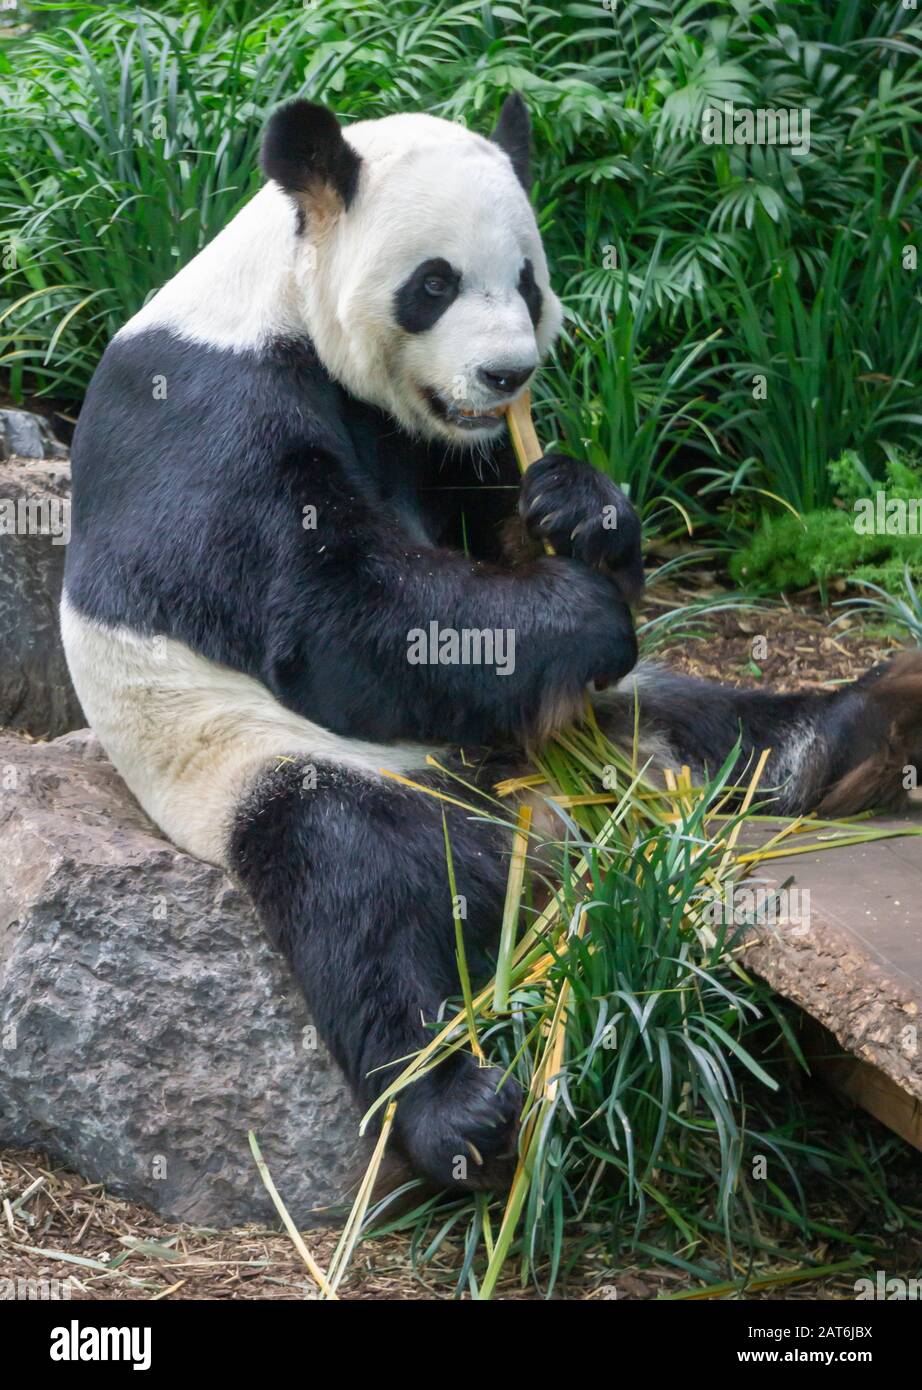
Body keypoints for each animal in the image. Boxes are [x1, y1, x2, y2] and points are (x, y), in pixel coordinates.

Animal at [61, 96, 922, 1190]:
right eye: (433, 285)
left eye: (526, 280)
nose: (507, 372)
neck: (284, 301)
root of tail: (530, 809)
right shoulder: (207, 405)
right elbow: (325, 607)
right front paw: (578, 610)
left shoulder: (439, 443)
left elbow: (491, 518)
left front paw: (581, 510)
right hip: (270, 762)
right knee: (356, 884)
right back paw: (460, 1110)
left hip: (612, 716)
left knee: (710, 722)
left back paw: (866, 734)